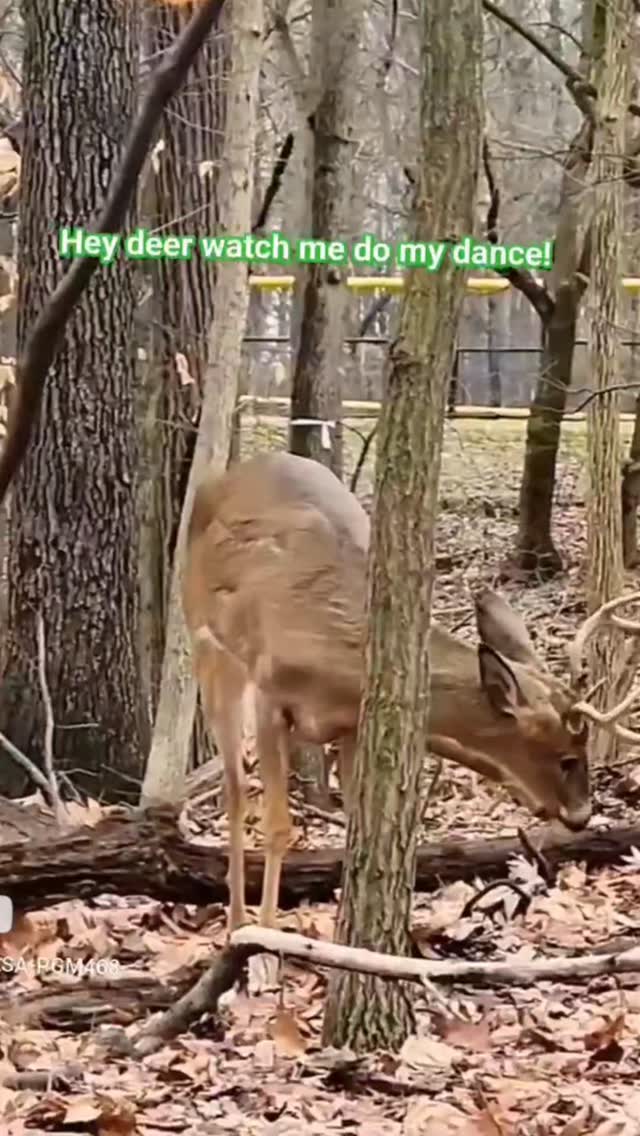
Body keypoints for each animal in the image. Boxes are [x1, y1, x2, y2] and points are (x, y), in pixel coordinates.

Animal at [183, 450, 640, 934]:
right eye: (566, 757)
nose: (582, 815)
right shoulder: (270, 694)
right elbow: (277, 828)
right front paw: (265, 938)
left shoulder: (354, 723)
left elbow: (359, 829)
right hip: (208, 646)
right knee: (234, 789)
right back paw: (236, 920)